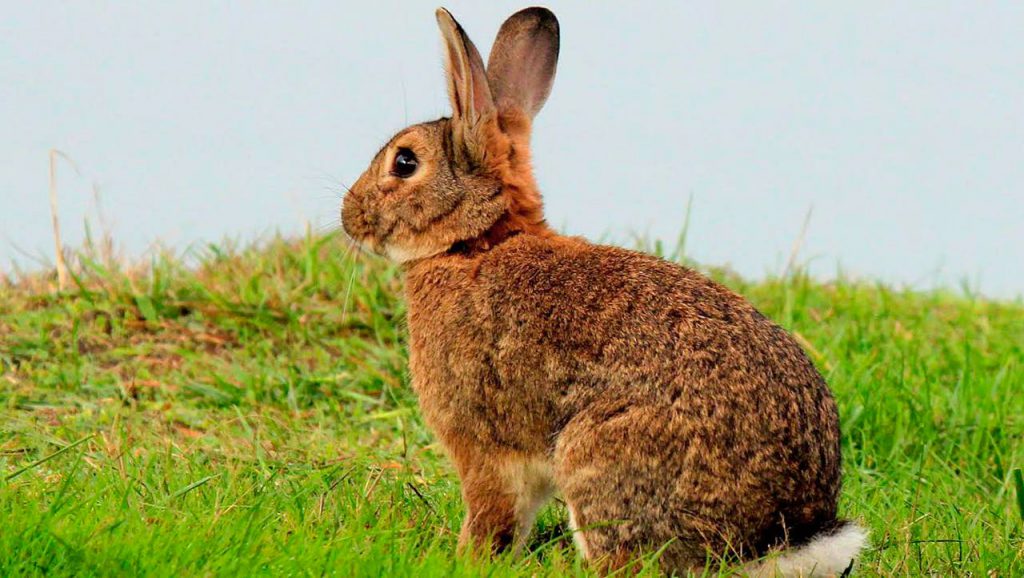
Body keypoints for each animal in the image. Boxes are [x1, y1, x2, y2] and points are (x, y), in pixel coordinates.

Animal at [341, 6, 867, 576]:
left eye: (405, 162)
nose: (349, 216)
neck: (476, 242)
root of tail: (774, 538)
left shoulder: (483, 447)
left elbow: (492, 515)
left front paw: (465, 558)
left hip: (599, 461)